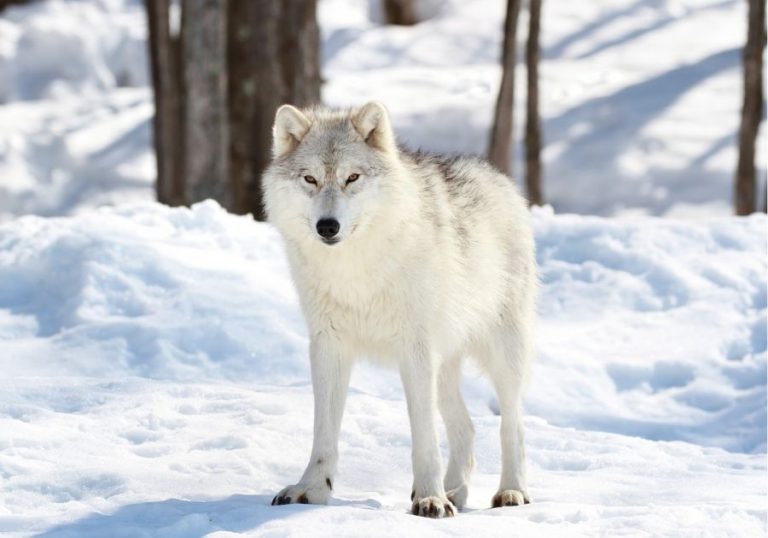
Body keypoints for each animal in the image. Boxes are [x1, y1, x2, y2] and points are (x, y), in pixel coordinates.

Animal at [263, 102, 537, 518]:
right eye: (310, 179)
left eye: (352, 177)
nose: (328, 227)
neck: (354, 271)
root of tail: (499, 178)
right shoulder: (328, 347)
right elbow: (323, 433)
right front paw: (310, 490)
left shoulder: (416, 350)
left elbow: (424, 436)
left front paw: (429, 498)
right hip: (444, 369)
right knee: (466, 427)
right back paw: (456, 491)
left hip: (501, 356)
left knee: (513, 425)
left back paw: (511, 492)